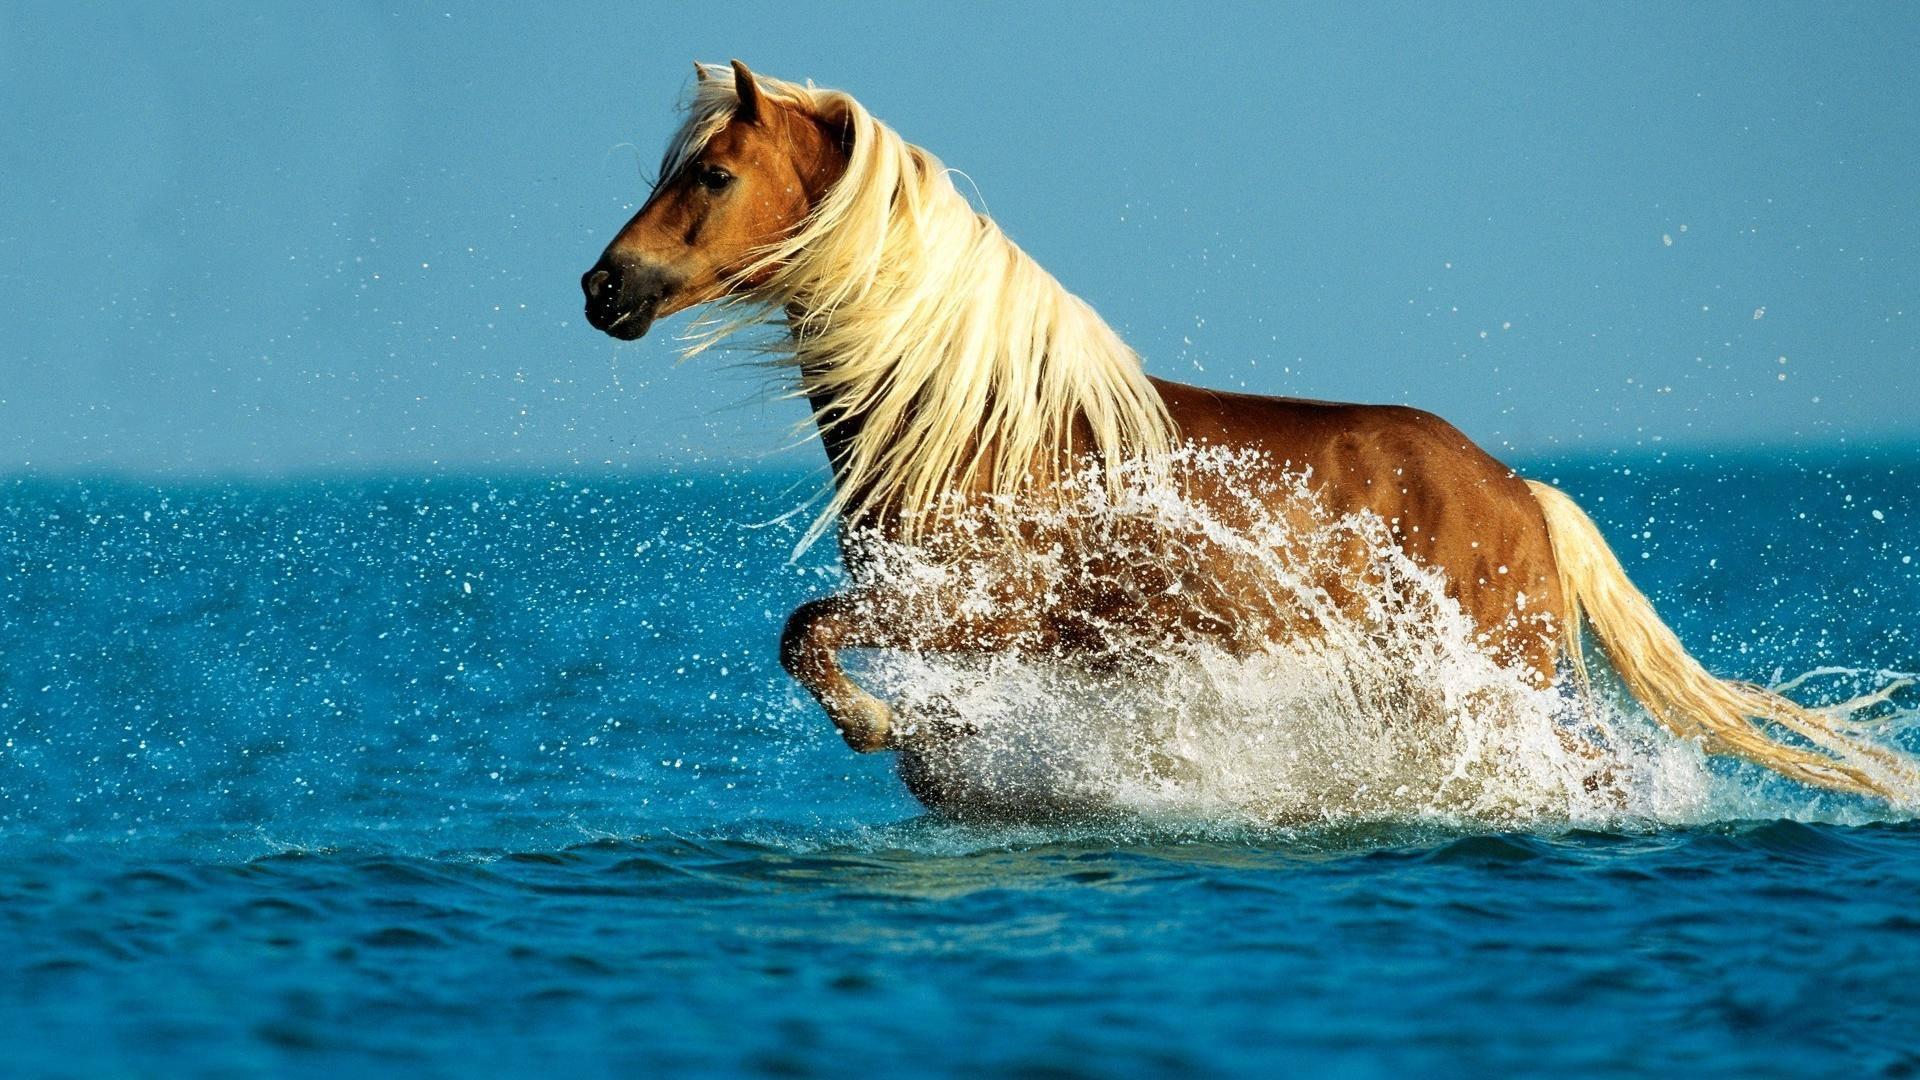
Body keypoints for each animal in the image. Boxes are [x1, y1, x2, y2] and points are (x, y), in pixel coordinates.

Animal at [582, 60, 1915, 806]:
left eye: (711, 175)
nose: (604, 288)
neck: (976, 425)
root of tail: (1523, 492)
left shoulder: (972, 609)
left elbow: (806, 635)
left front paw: (873, 725)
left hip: (1492, 684)